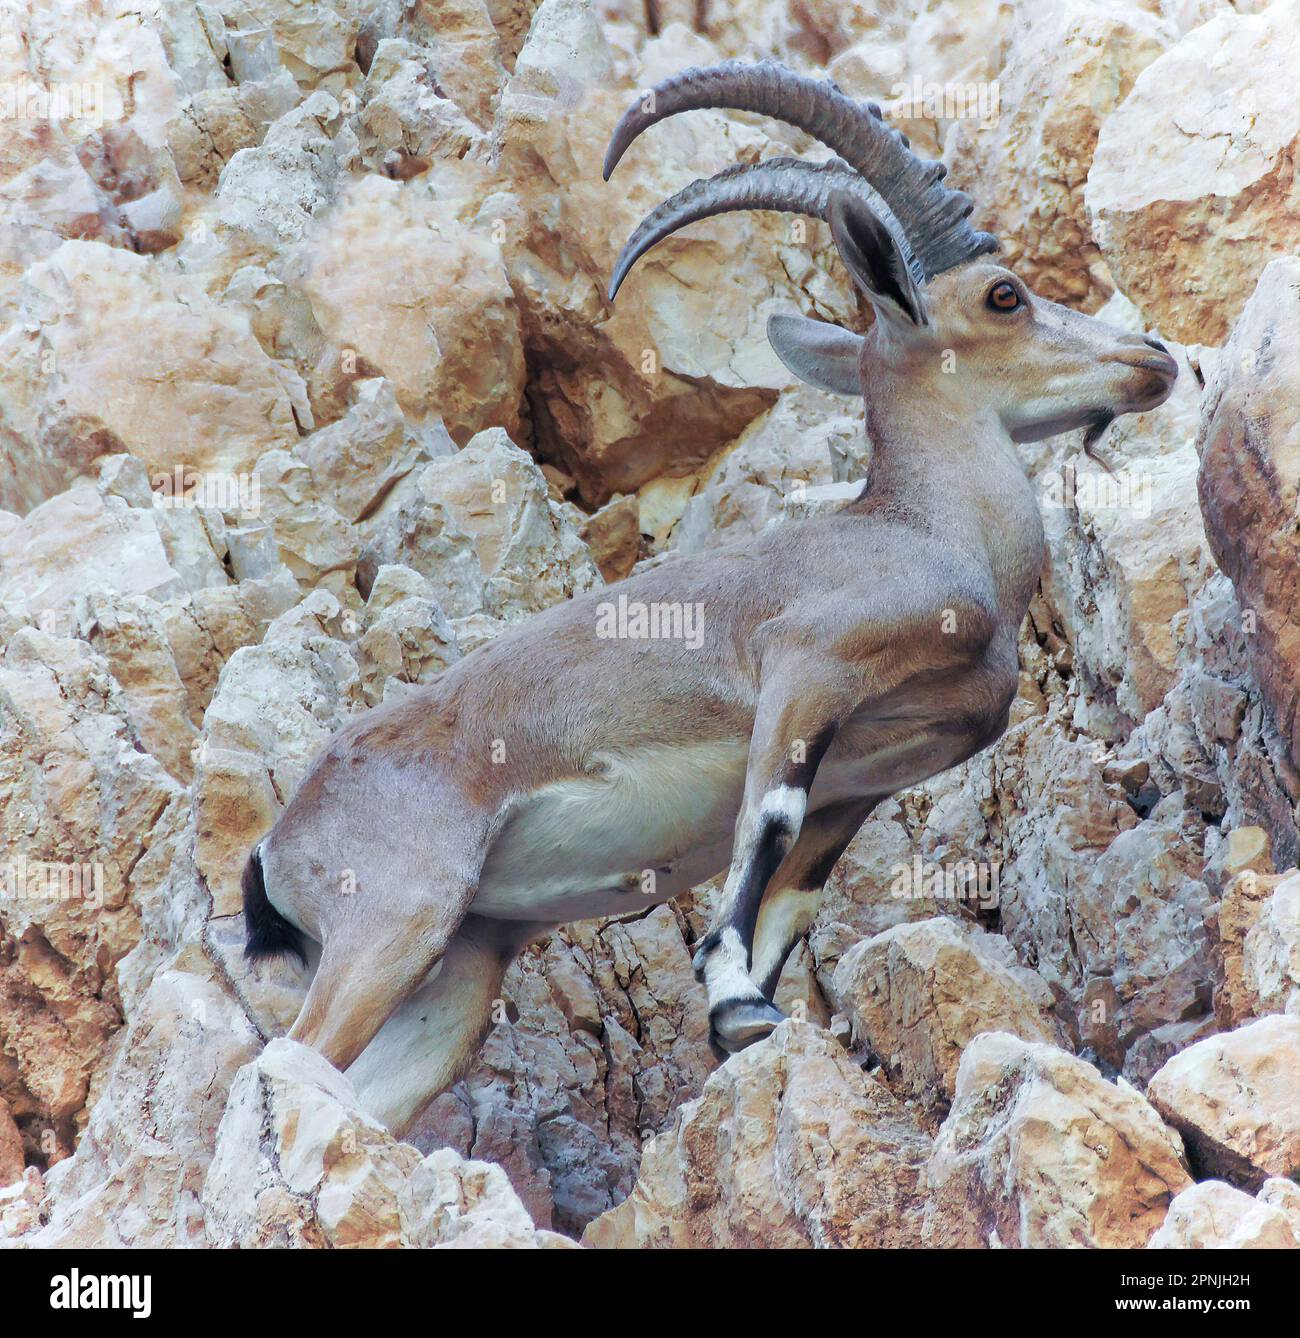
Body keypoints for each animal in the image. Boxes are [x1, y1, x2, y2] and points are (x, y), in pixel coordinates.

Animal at [243, 61, 1177, 1134]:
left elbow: (795, 894)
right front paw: (733, 999)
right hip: (395, 915)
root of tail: (276, 845)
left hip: (462, 963)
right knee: (290, 1056)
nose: (1154, 357)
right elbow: (765, 818)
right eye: (1004, 294)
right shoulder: (807, 668)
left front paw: (751, 1024)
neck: (936, 539)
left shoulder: (864, 781)